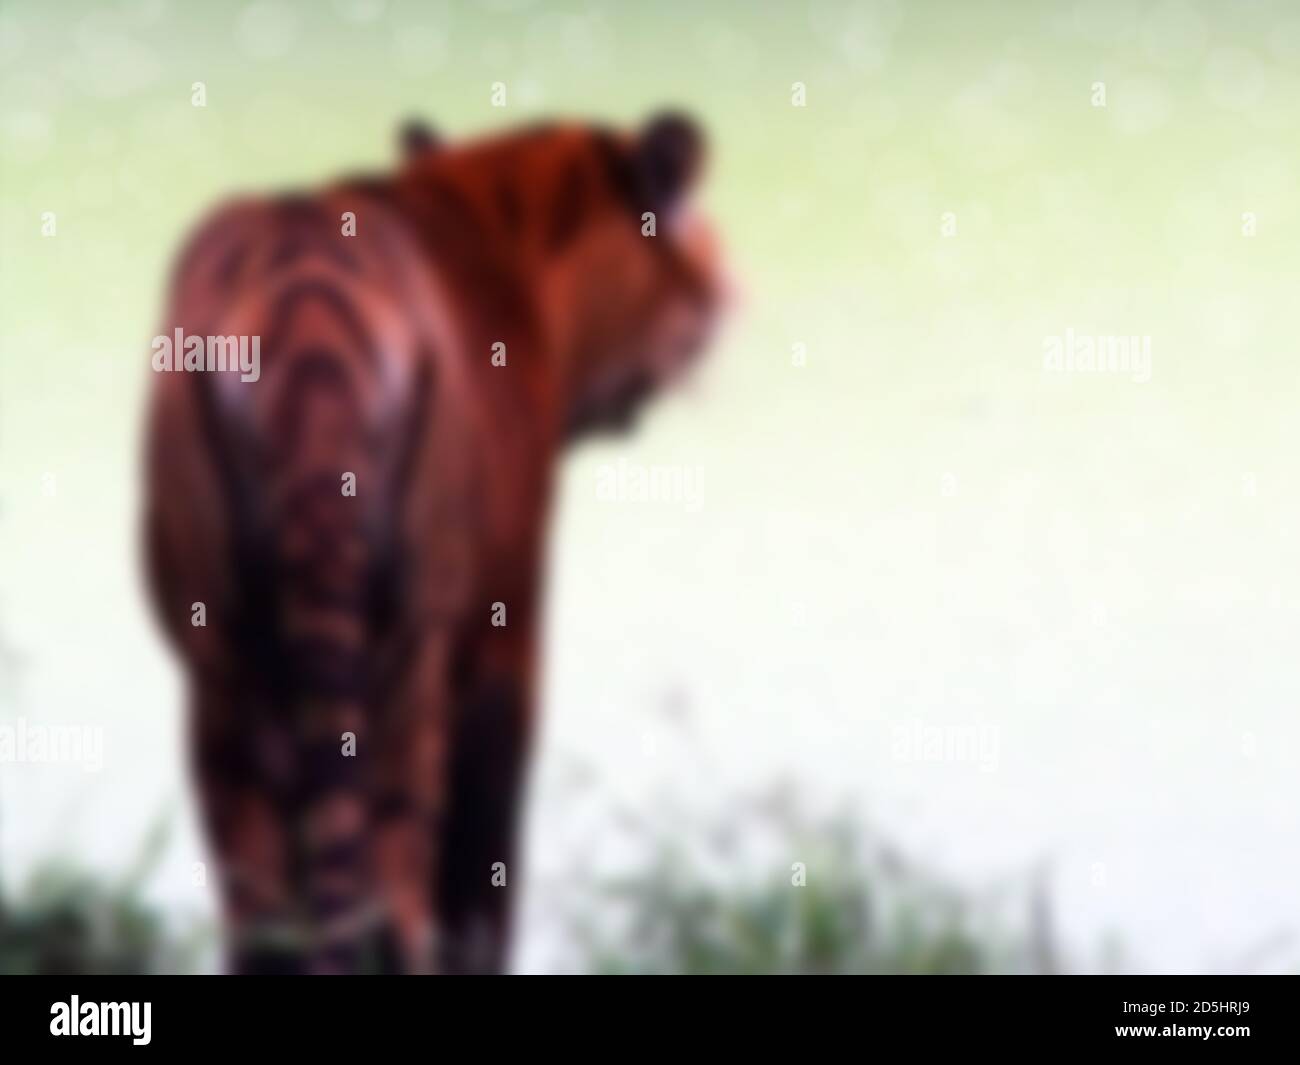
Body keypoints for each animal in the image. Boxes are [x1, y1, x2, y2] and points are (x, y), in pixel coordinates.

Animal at [142, 112, 724, 974]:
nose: (726, 294)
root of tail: (306, 318)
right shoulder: (505, 623)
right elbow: (485, 859)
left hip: (219, 664)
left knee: (262, 907)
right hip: (407, 653)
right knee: (397, 888)